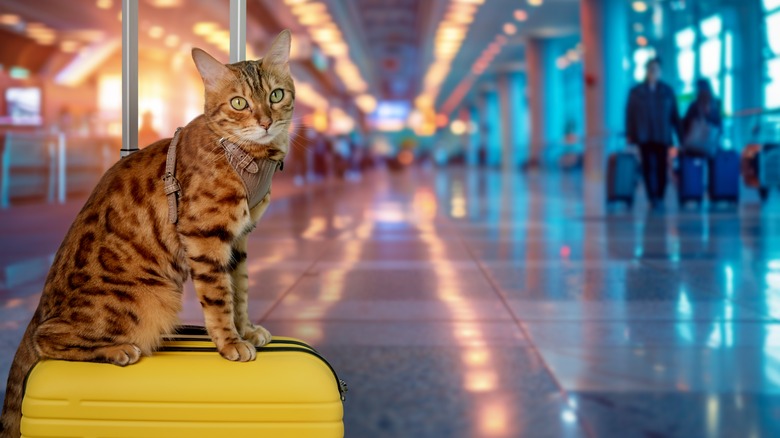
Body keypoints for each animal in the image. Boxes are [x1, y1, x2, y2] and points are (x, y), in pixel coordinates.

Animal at [1, 30, 294, 438]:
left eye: (276, 95)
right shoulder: (205, 235)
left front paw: (246, 329)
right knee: (46, 339)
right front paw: (229, 342)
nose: (266, 121)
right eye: (239, 103)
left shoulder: (239, 240)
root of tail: (38, 309)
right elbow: (219, 298)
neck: (247, 155)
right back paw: (117, 350)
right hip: (150, 300)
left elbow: (241, 292)